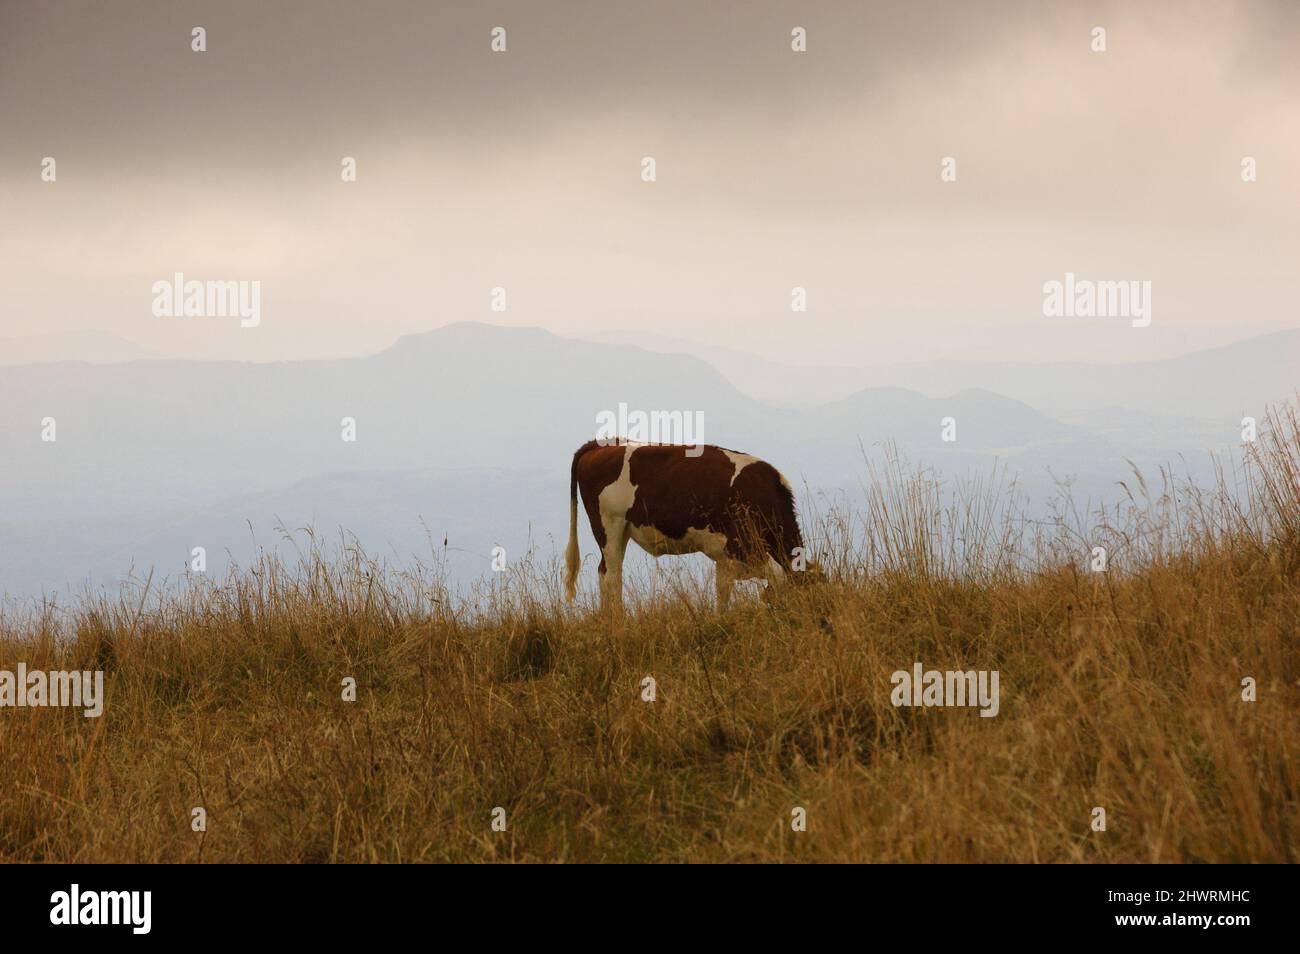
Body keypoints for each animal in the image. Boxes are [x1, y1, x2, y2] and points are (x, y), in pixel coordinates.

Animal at [564, 439, 822, 612]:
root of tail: (601, 444)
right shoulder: (741, 547)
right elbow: (778, 577)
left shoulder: (725, 559)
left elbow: (722, 594)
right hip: (610, 527)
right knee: (612, 576)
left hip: (619, 531)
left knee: (604, 572)